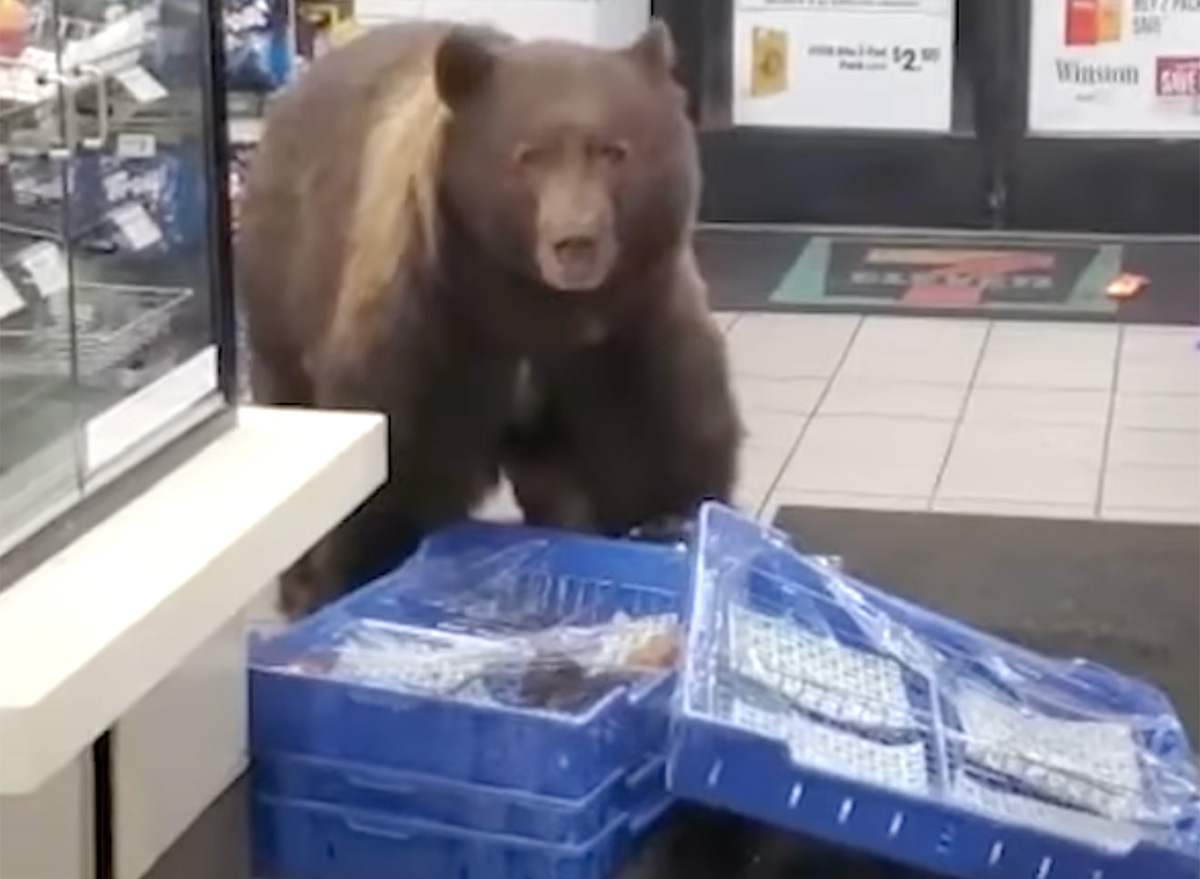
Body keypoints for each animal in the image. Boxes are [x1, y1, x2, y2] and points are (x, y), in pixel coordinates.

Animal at [236, 20, 742, 619]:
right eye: (529, 155)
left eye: (612, 150)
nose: (576, 242)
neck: (531, 307)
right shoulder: (437, 331)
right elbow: (396, 478)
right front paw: (364, 571)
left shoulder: (627, 327)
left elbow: (655, 450)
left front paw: (670, 527)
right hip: (281, 293)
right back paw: (299, 585)